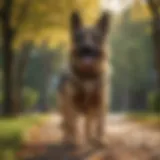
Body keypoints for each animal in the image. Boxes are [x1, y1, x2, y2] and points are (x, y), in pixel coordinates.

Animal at [57, 11, 110, 148]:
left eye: (95, 37)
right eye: (80, 37)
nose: (87, 48)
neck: (88, 75)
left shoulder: (99, 103)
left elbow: (99, 125)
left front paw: (99, 140)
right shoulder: (72, 104)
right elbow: (73, 125)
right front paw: (75, 142)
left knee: (88, 124)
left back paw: (90, 138)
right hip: (64, 107)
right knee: (67, 125)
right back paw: (67, 139)